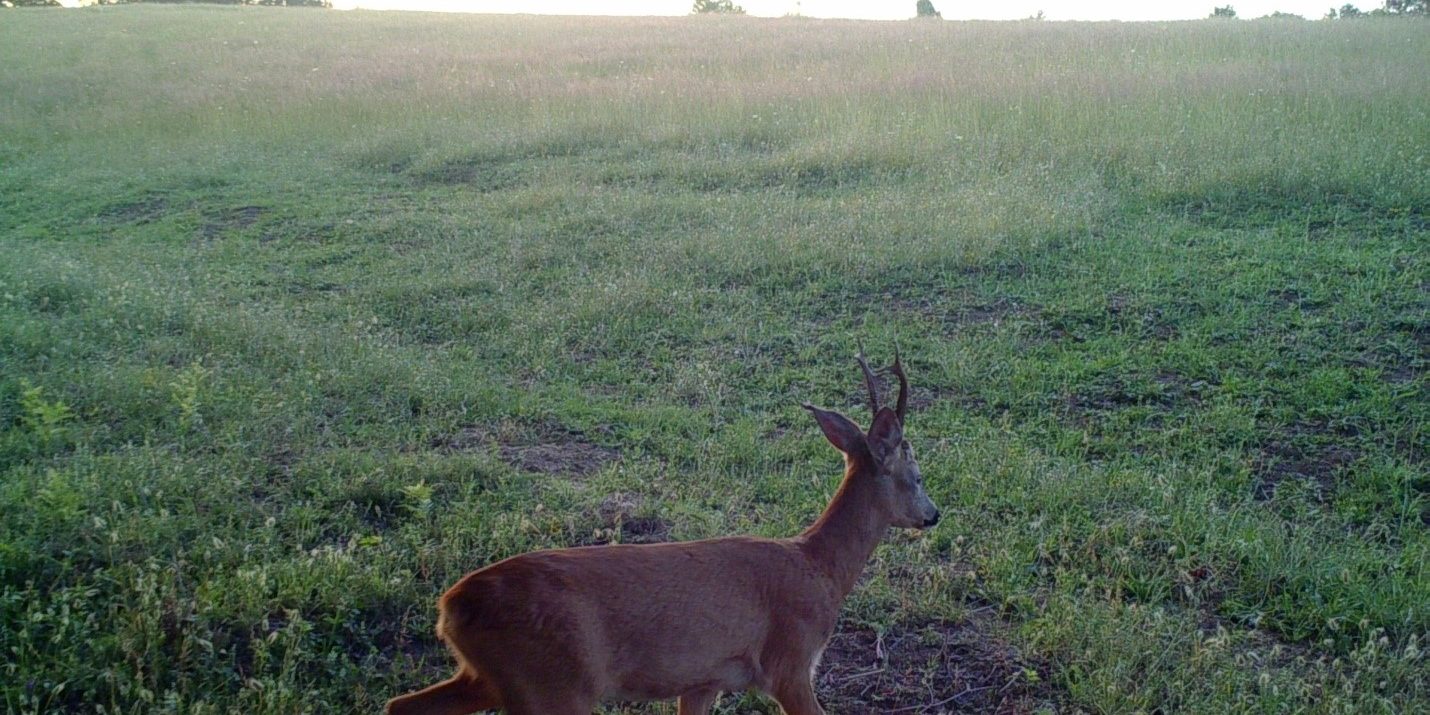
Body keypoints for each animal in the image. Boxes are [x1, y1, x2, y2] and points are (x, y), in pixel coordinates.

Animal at [386, 349, 940, 715]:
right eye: (916, 475)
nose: (933, 514)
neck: (820, 567)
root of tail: (451, 607)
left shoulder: (703, 679)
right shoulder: (789, 660)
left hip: (494, 678)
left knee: (400, 705)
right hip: (552, 683)